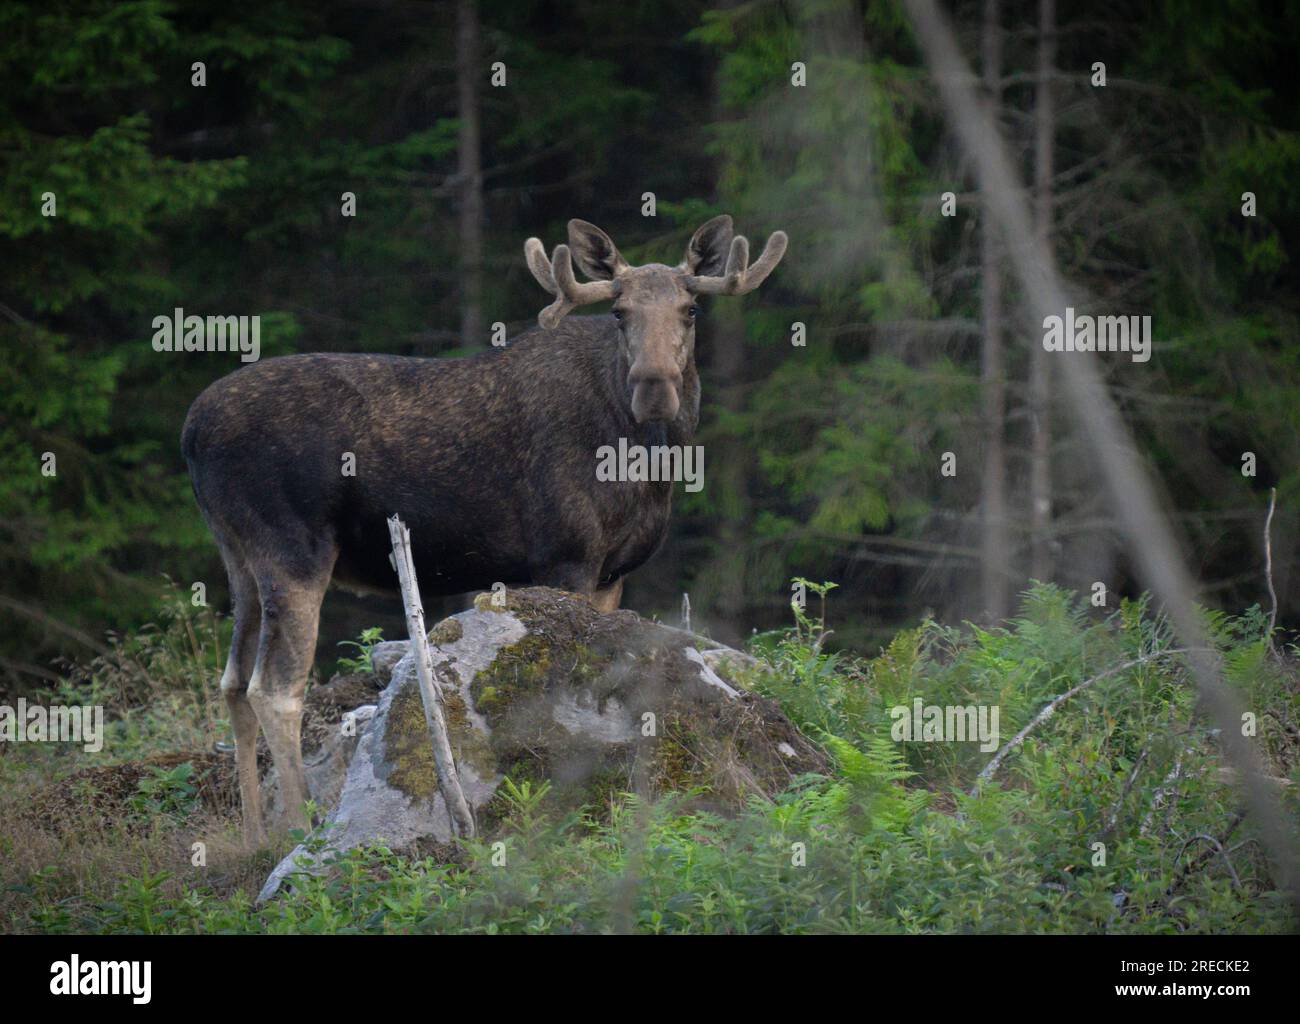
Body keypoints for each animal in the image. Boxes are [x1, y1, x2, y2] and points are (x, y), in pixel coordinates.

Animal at [181, 215, 787, 843]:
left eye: (691, 309)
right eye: (620, 312)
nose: (654, 387)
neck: (645, 461)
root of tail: (190, 431)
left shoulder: (610, 572)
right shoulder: (565, 556)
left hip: (237, 556)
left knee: (232, 682)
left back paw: (254, 836)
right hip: (293, 547)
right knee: (274, 688)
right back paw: (299, 826)